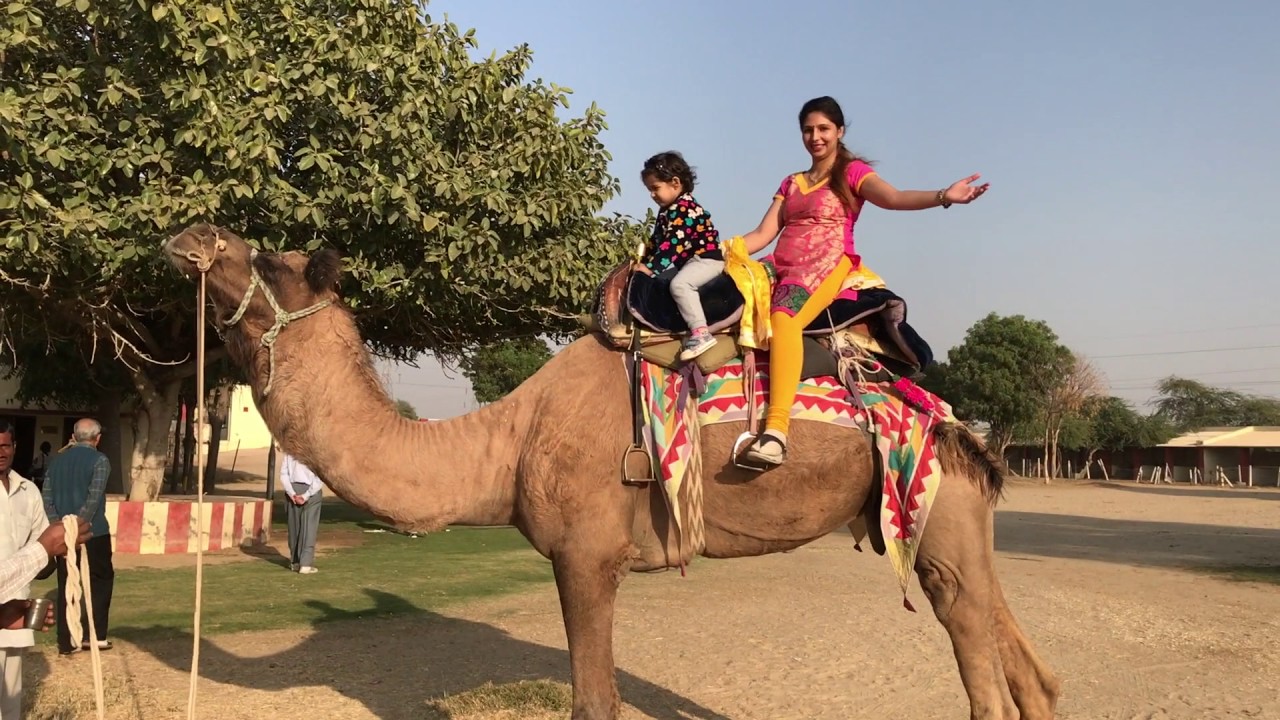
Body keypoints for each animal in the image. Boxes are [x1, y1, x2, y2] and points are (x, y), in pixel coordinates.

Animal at [163, 224, 1060, 720]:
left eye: (270, 261)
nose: (191, 235)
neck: (507, 440)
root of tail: (955, 423)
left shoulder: (587, 552)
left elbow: (594, 702)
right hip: (952, 519)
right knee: (1023, 664)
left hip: (928, 501)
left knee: (980, 663)